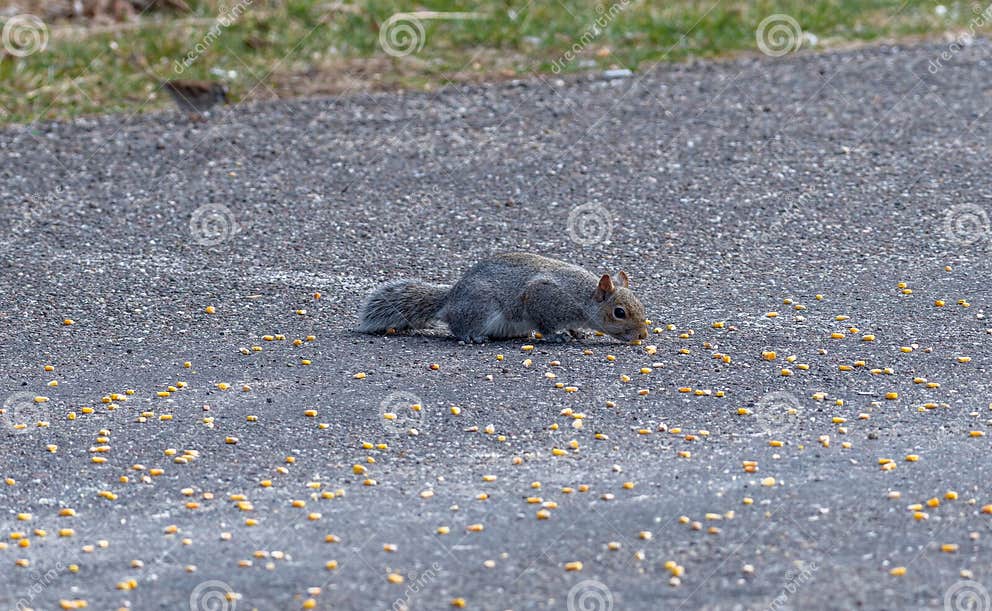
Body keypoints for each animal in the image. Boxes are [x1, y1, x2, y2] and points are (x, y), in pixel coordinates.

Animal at [357, 253, 649, 343]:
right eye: (619, 312)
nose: (642, 335)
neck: (582, 297)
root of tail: (450, 299)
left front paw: (576, 332)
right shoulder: (543, 297)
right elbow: (544, 323)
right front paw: (557, 336)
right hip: (480, 308)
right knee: (459, 326)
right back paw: (472, 336)